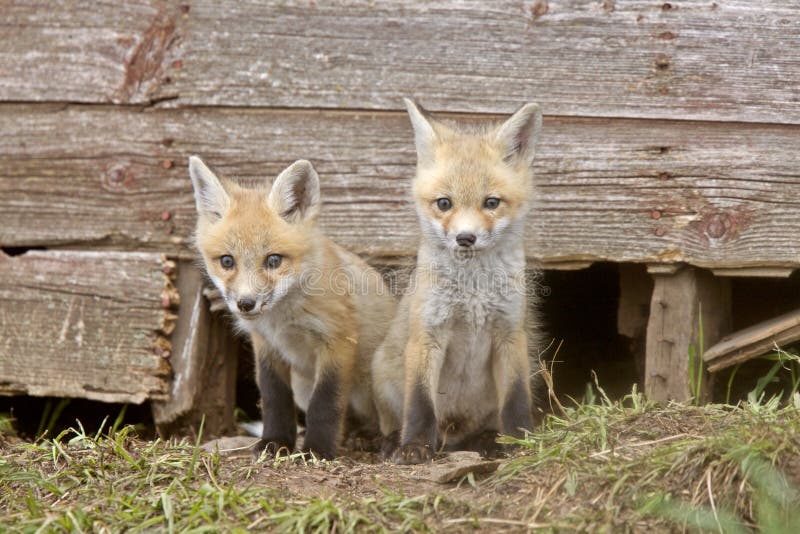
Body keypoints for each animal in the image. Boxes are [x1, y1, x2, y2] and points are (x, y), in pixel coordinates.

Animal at [188, 156, 396, 459]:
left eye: (273, 260)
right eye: (227, 261)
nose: (246, 304)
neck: (282, 320)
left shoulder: (338, 340)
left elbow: (326, 402)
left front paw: (317, 450)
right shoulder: (266, 345)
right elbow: (274, 398)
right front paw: (275, 442)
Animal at [372, 99, 543, 464]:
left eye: (491, 202)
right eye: (444, 203)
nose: (466, 238)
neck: (474, 291)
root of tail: (453, 432)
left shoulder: (511, 334)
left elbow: (516, 400)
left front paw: (522, 441)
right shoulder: (428, 334)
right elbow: (420, 403)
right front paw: (414, 447)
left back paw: (488, 439)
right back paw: (395, 441)